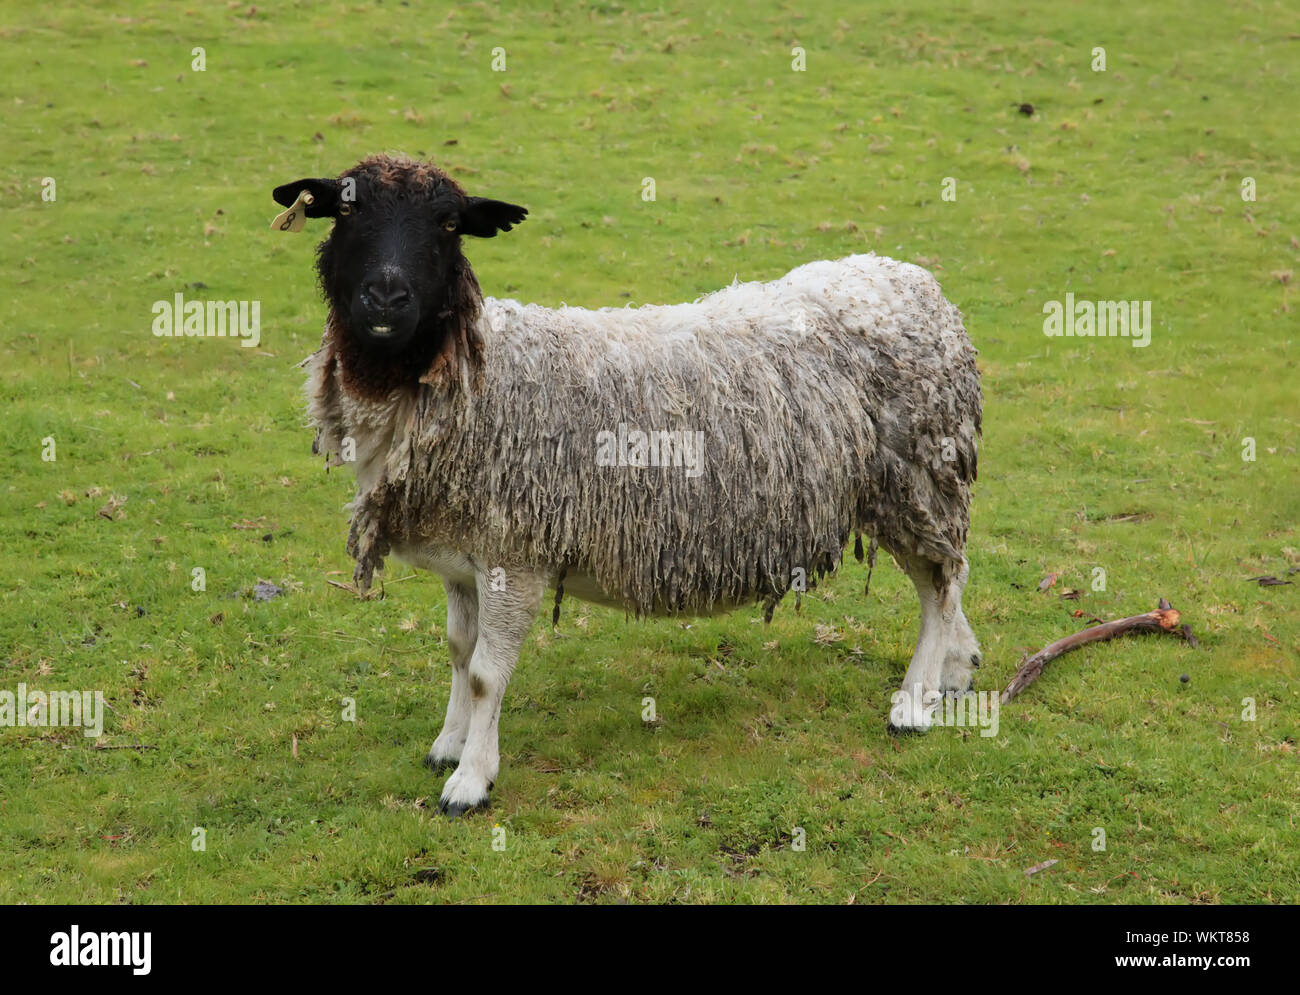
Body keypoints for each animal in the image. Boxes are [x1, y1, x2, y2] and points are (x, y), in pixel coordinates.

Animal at [272, 154, 983, 816]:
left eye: (449, 224)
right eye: (345, 210)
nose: (386, 299)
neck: (472, 373)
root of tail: (918, 284)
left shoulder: (514, 554)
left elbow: (484, 675)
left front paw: (470, 780)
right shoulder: (460, 557)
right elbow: (456, 650)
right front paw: (448, 743)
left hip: (918, 477)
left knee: (940, 585)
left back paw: (913, 704)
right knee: (950, 577)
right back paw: (955, 670)